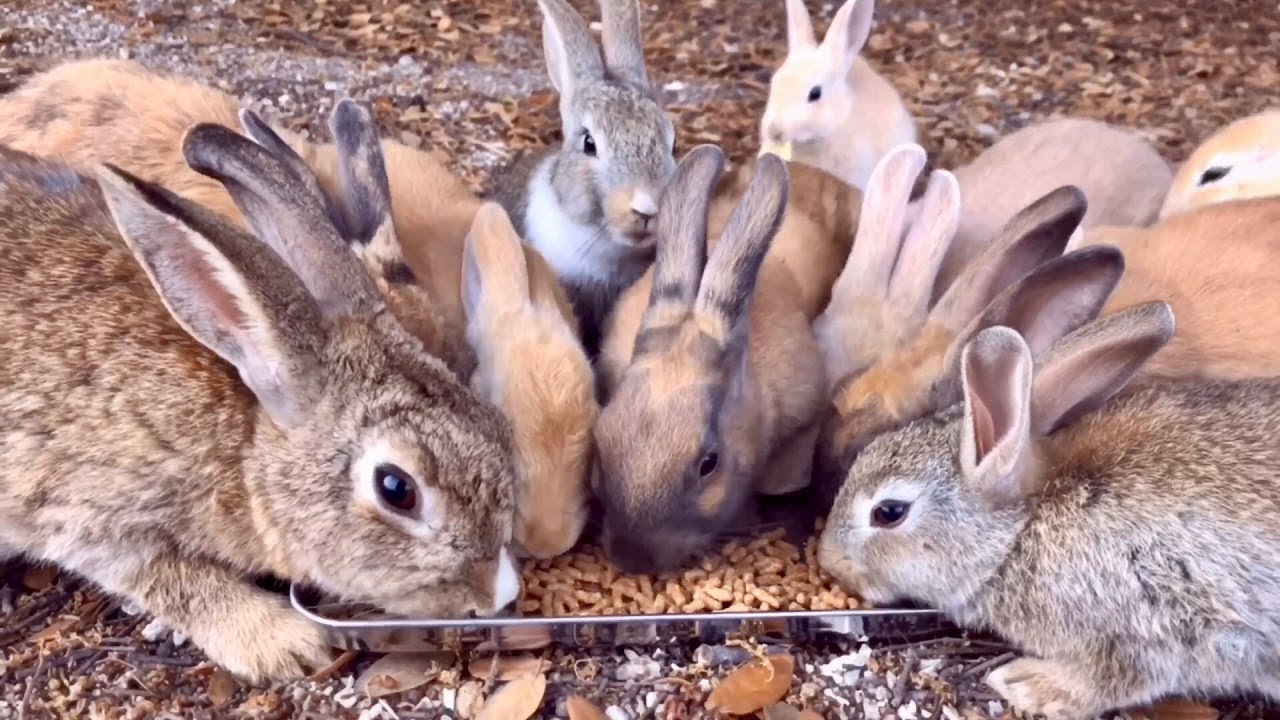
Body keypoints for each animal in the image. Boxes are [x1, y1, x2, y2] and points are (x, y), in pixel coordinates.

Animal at [0, 123, 522, 680]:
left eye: (496, 423)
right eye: (396, 489)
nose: (496, 595)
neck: (246, 448)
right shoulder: (87, 510)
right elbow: (170, 579)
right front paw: (287, 642)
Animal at [818, 298, 1280, 720]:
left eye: (888, 512)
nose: (827, 558)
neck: (1020, 531)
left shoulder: (1150, 617)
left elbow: (1119, 676)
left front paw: (1027, 684)